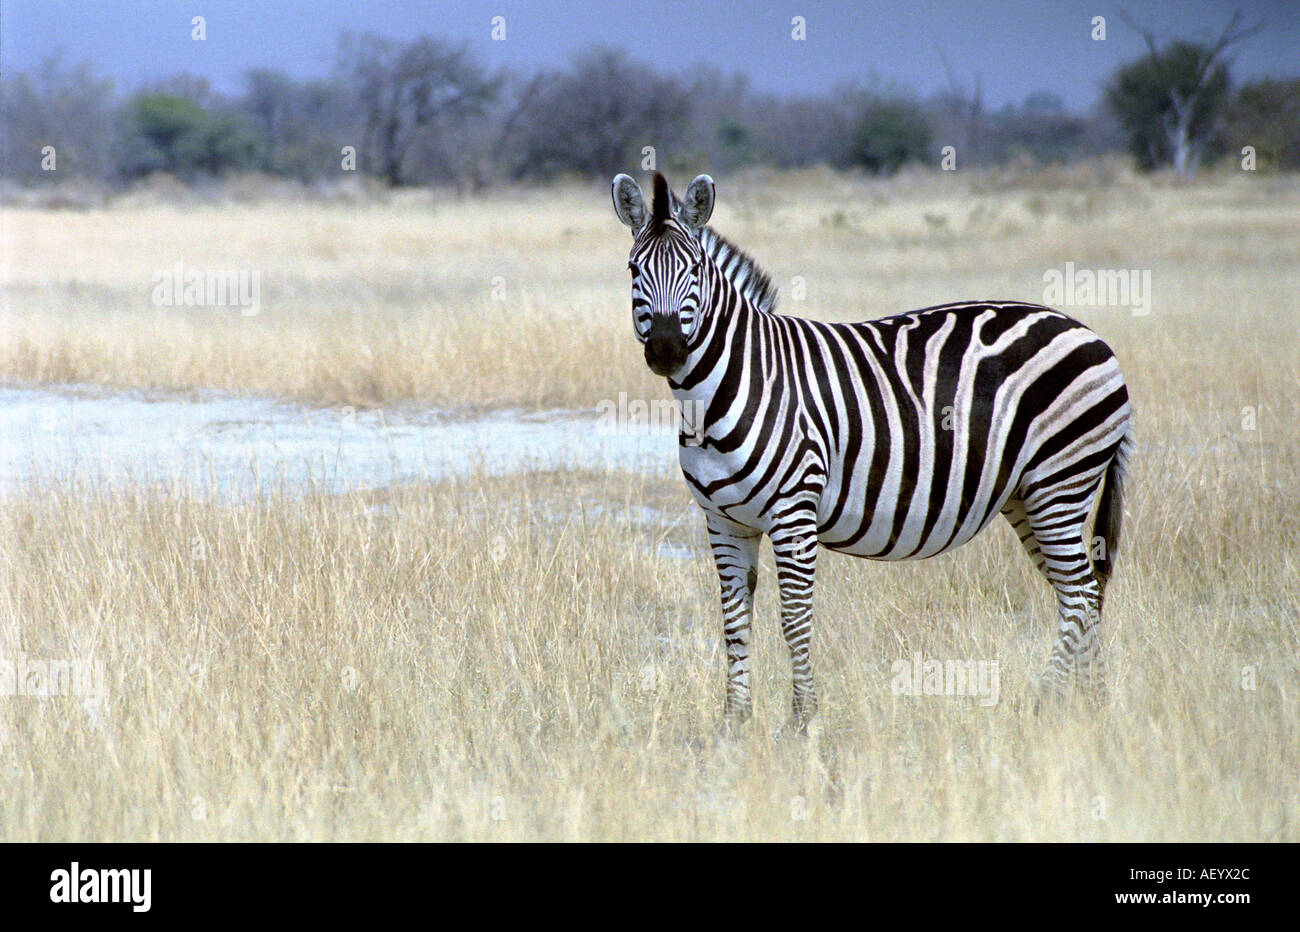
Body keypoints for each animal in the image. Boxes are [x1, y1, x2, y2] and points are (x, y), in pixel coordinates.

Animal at [610, 171, 1132, 730]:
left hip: (1060, 481)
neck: (720, 394)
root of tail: (1093, 337)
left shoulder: (794, 511)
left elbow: (794, 617)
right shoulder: (723, 520)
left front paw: (803, 721)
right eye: (633, 269)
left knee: (1080, 594)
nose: (666, 351)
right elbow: (733, 618)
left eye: (696, 270)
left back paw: (1044, 703)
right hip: (1027, 494)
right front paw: (734, 722)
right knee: (1081, 592)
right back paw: (1092, 705)